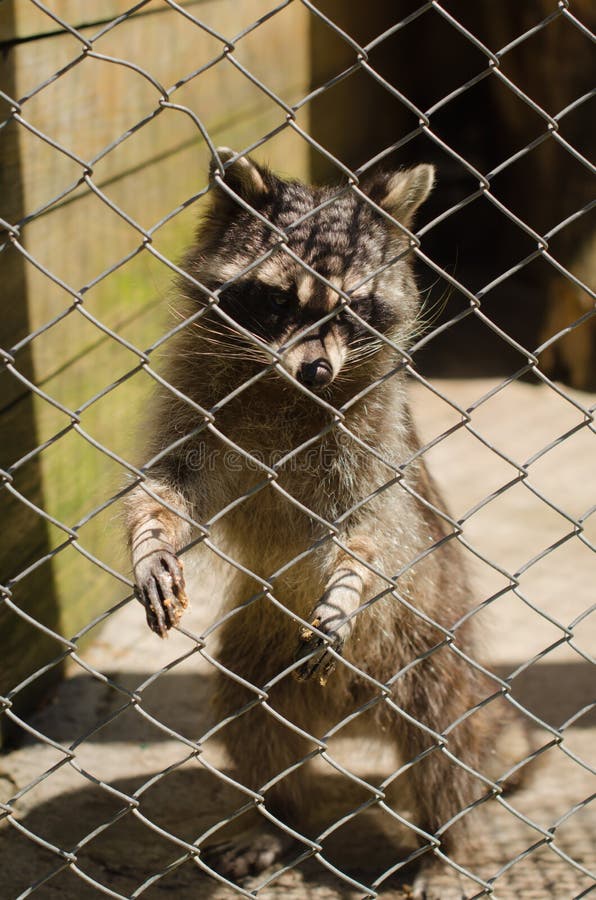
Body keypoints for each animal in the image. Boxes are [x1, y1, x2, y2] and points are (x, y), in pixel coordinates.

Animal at [124, 149, 516, 895]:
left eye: (355, 308)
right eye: (278, 301)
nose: (317, 369)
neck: (283, 389)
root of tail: (352, 704)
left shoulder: (373, 443)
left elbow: (368, 529)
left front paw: (345, 586)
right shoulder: (199, 403)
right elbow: (170, 488)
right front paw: (151, 541)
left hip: (432, 644)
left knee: (446, 748)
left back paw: (449, 843)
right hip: (261, 647)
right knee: (255, 724)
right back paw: (278, 814)